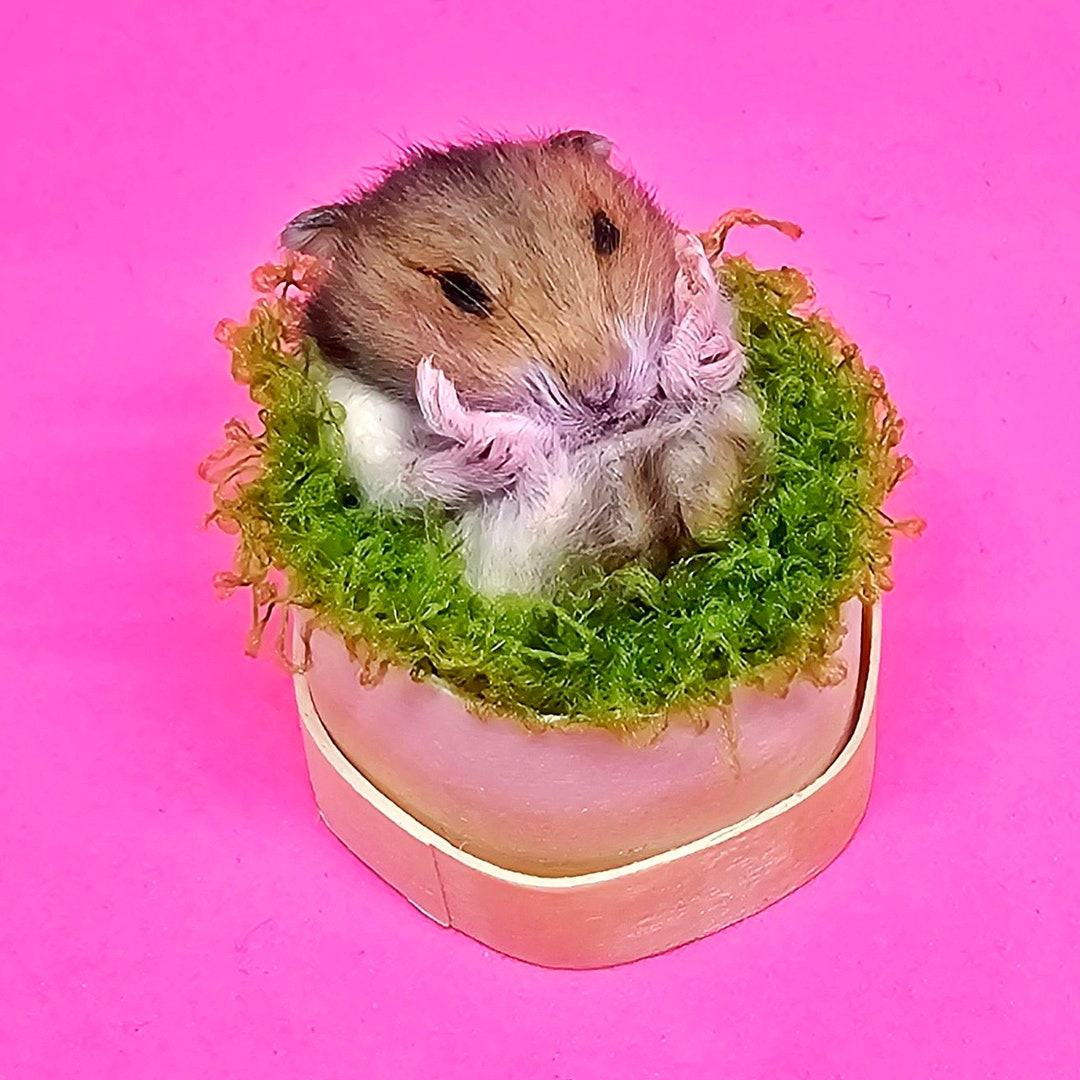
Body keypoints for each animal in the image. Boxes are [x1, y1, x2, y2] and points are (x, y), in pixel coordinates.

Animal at [282, 132, 760, 595]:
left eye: (606, 232)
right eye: (459, 291)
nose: (606, 399)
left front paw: (699, 309)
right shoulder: (355, 425)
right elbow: (404, 479)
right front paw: (476, 432)